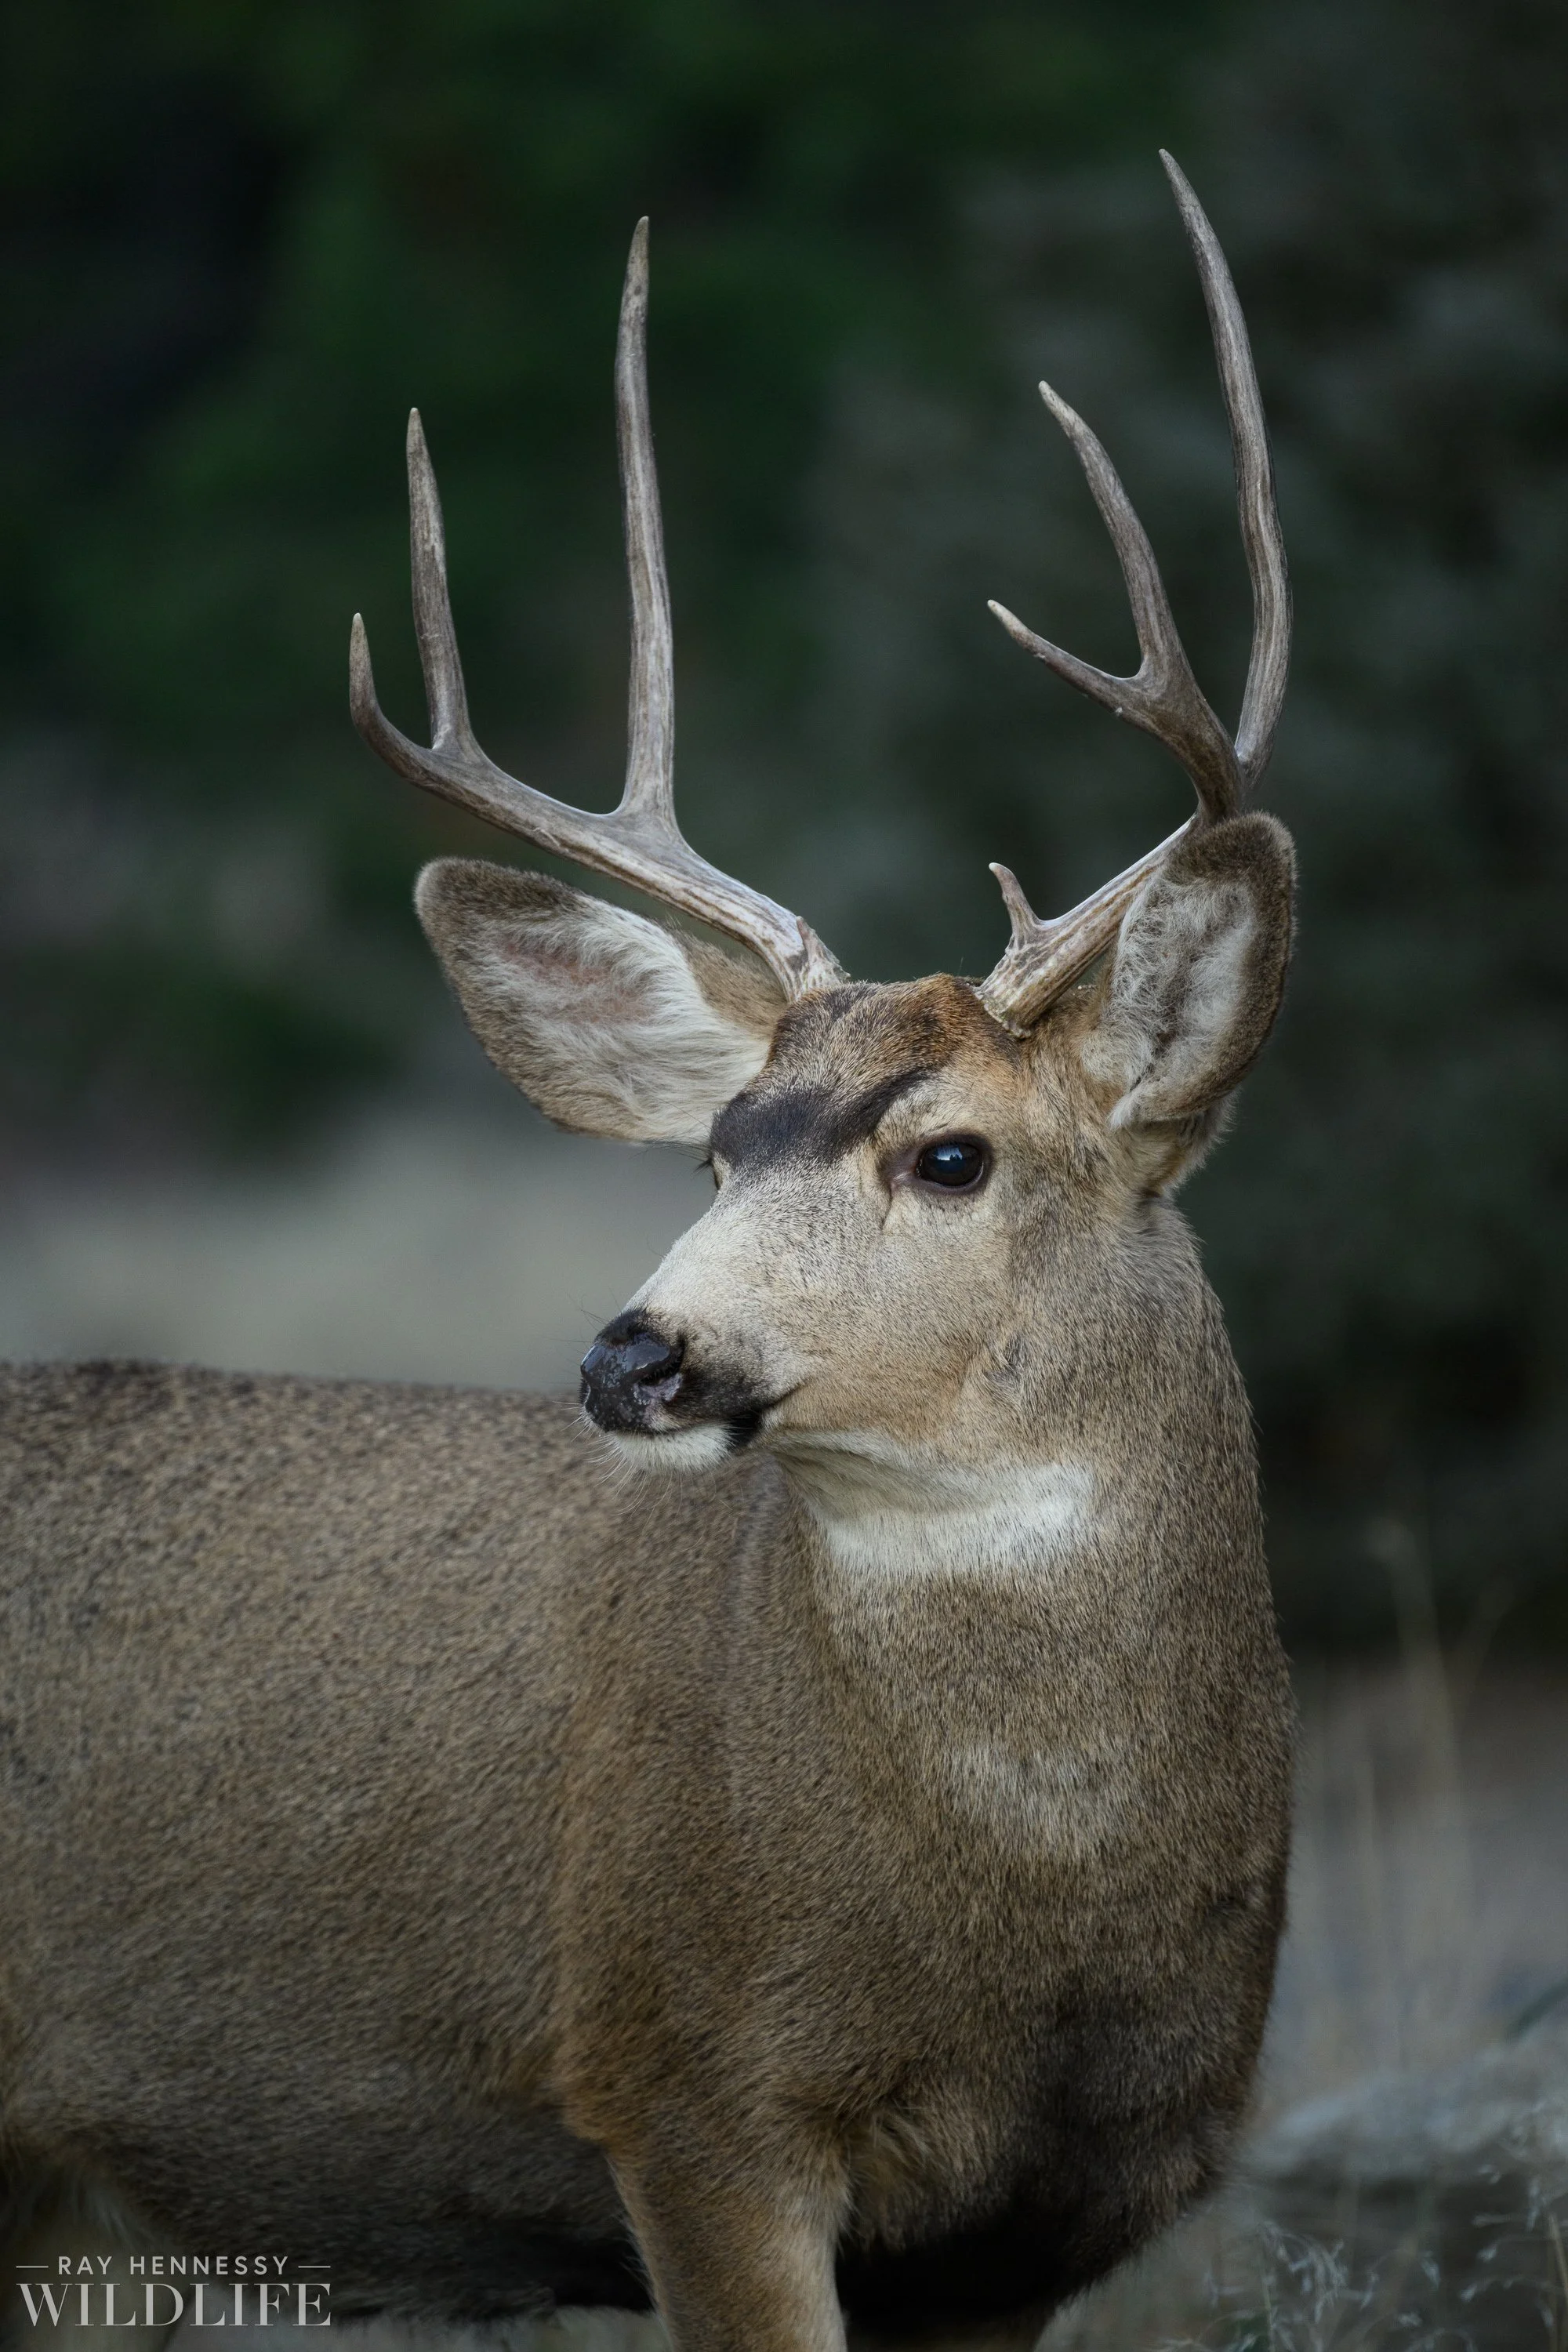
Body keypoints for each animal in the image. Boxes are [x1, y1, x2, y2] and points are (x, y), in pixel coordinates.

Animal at [0, 152, 1294, 2352]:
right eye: (713, 1141)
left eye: (950, 1154)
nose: (639, 1354)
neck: (1028, 1940)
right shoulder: (683, 2087)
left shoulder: (1052, 2218)